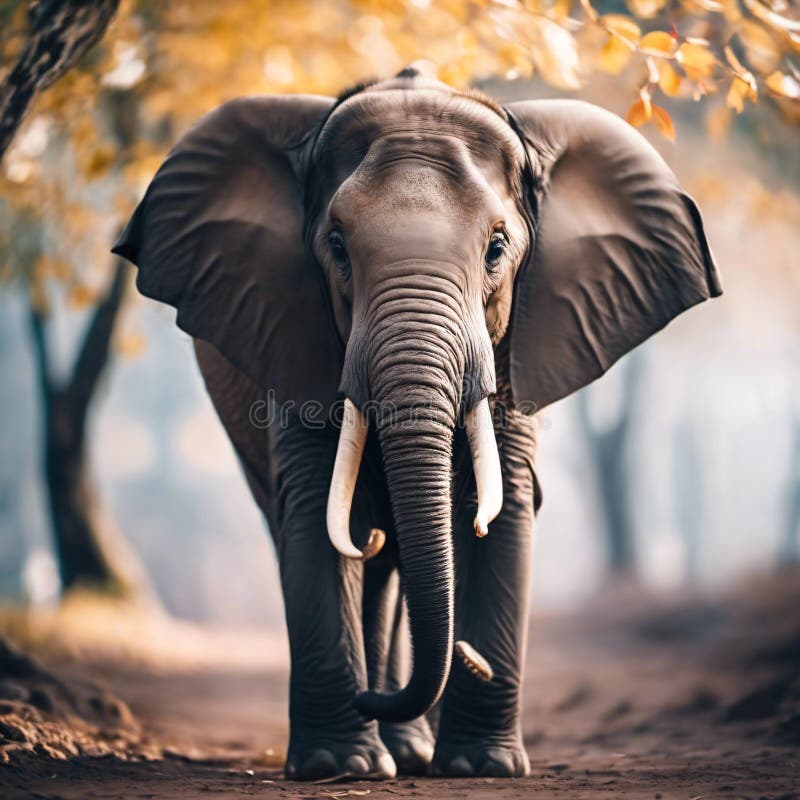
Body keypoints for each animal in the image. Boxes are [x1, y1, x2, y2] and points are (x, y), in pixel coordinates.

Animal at [112, 64, 721, 780]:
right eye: (337, 247)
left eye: (496, 249)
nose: (472, 660)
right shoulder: (293, 331)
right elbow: (319, 508)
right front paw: (337, 765)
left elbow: (504, 505)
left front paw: (480, 768)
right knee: (358, 548)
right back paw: (385, 744)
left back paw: (409, 748)